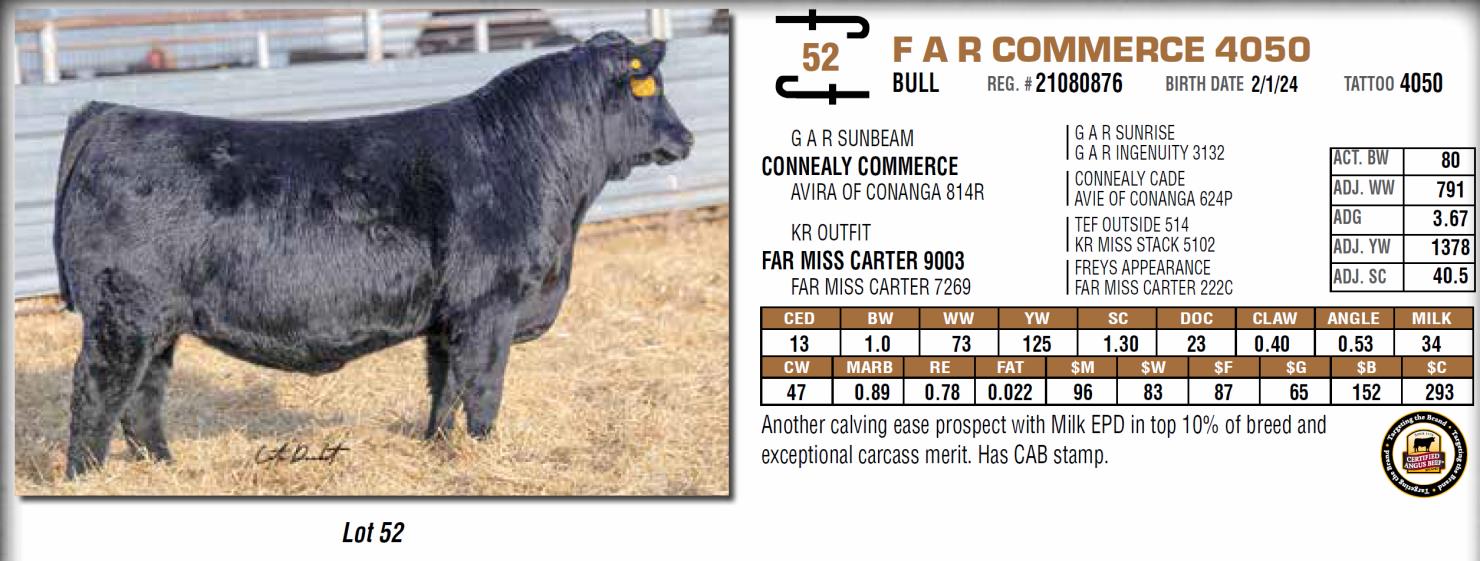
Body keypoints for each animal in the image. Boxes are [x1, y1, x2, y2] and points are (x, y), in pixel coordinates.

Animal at [52, 31, 693, 478]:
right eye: (654, 90)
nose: (686, 138)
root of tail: (110, 113)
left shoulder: (449, 317)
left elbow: (444, 386)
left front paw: (438, 446)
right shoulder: (491, 306)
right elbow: (484, 387)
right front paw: (485, 452)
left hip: (159, 322)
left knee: (143, 397)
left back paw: (165, 468)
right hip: (123, 313)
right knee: (98, 390)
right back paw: (86, 477)